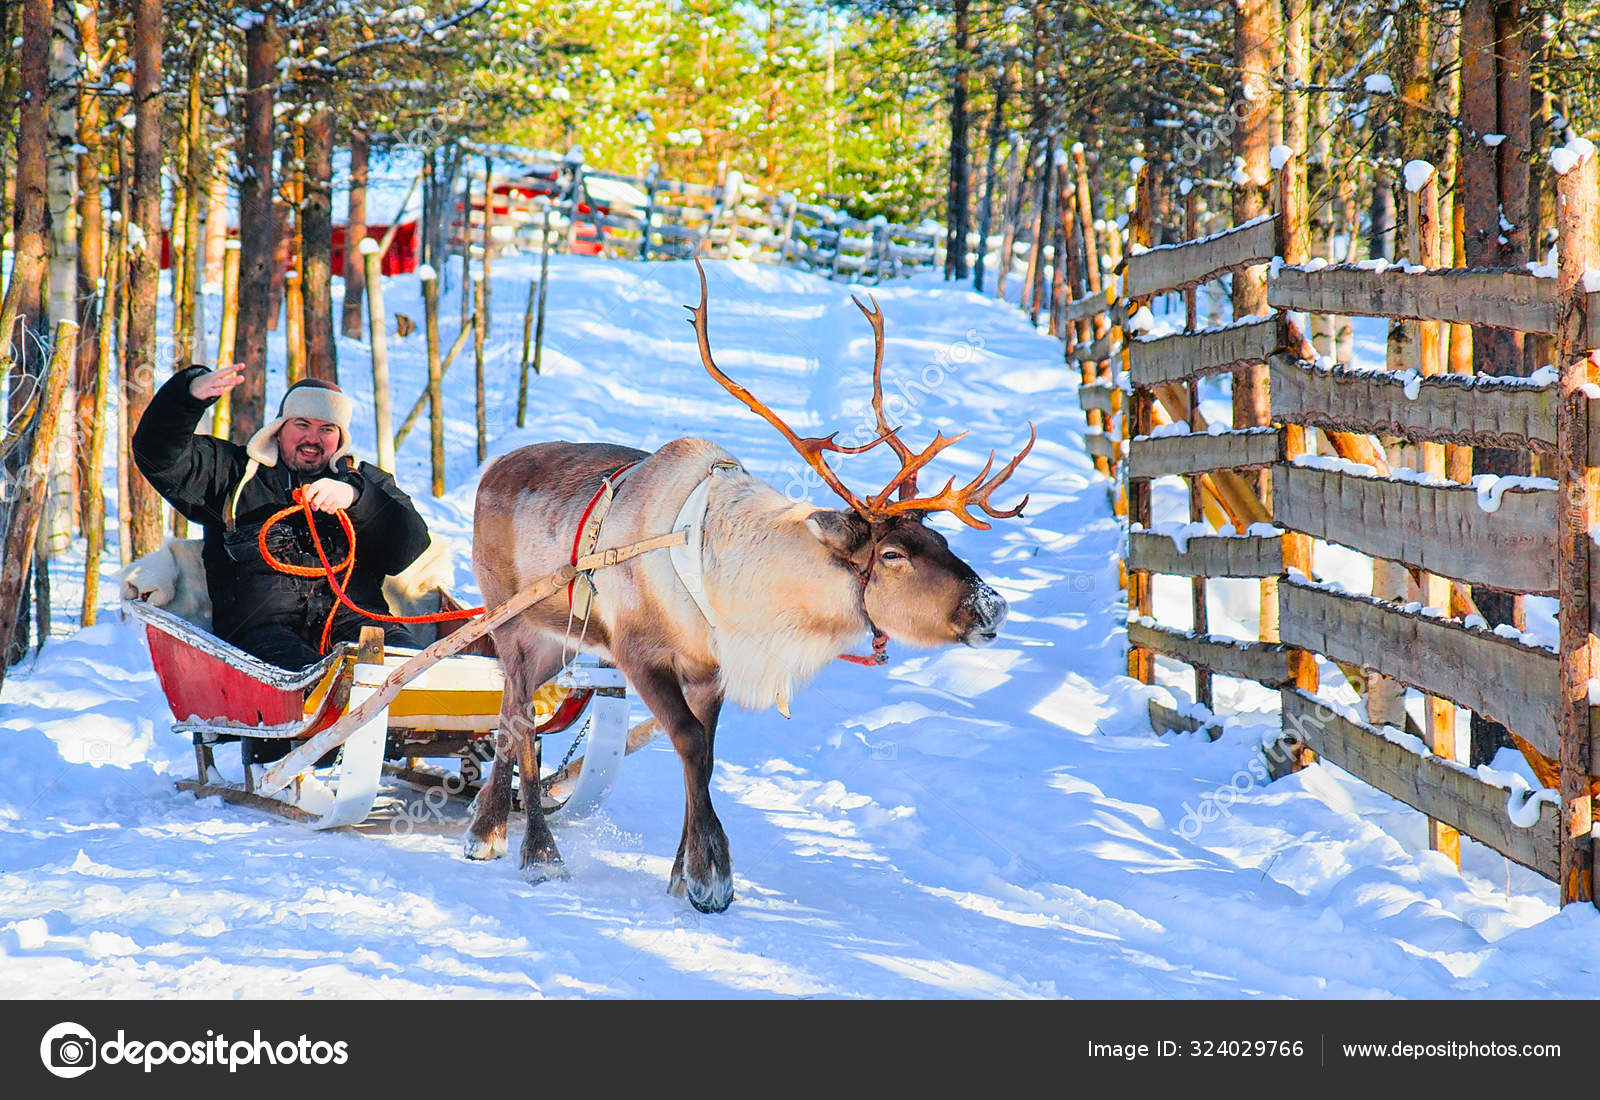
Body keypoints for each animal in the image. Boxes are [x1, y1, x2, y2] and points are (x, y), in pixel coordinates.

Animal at [464, 261, 1033, 912]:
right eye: (892, 554)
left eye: (939, 540)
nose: (993, 606)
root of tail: (491, 470)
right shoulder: (639, 652)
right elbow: (687, 740)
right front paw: (711, 874)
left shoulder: (709, 669)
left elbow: (705, 755)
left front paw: (682, 871)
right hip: (510, 620)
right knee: (521, 719)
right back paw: (535, 851)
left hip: (556, 642)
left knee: (509, 713)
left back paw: (488, 828)